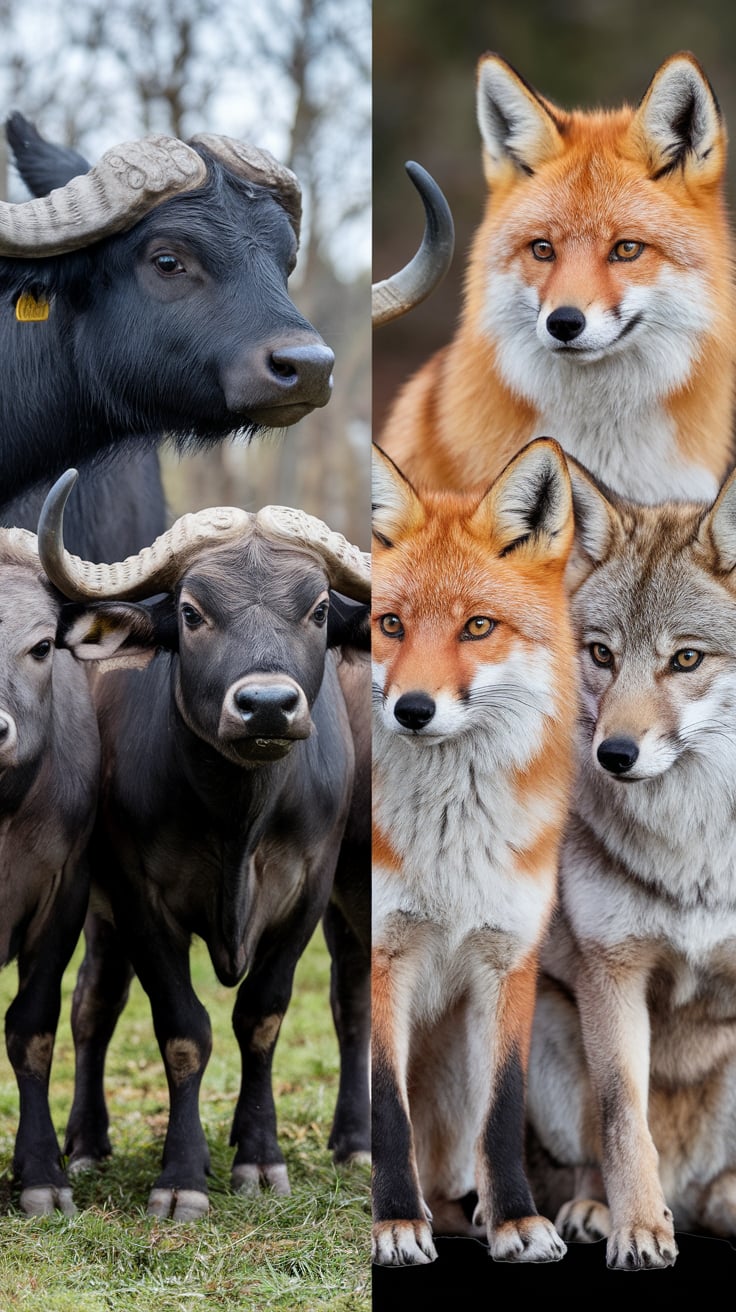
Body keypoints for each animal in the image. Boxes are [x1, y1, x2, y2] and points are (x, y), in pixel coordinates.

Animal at [525, 459, 736, 1270]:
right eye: (602, 655)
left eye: (686, 659)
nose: (613, 754)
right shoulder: (612, 971)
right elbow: (623, 1120)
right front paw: (639, 1229)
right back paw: (597, 1210)